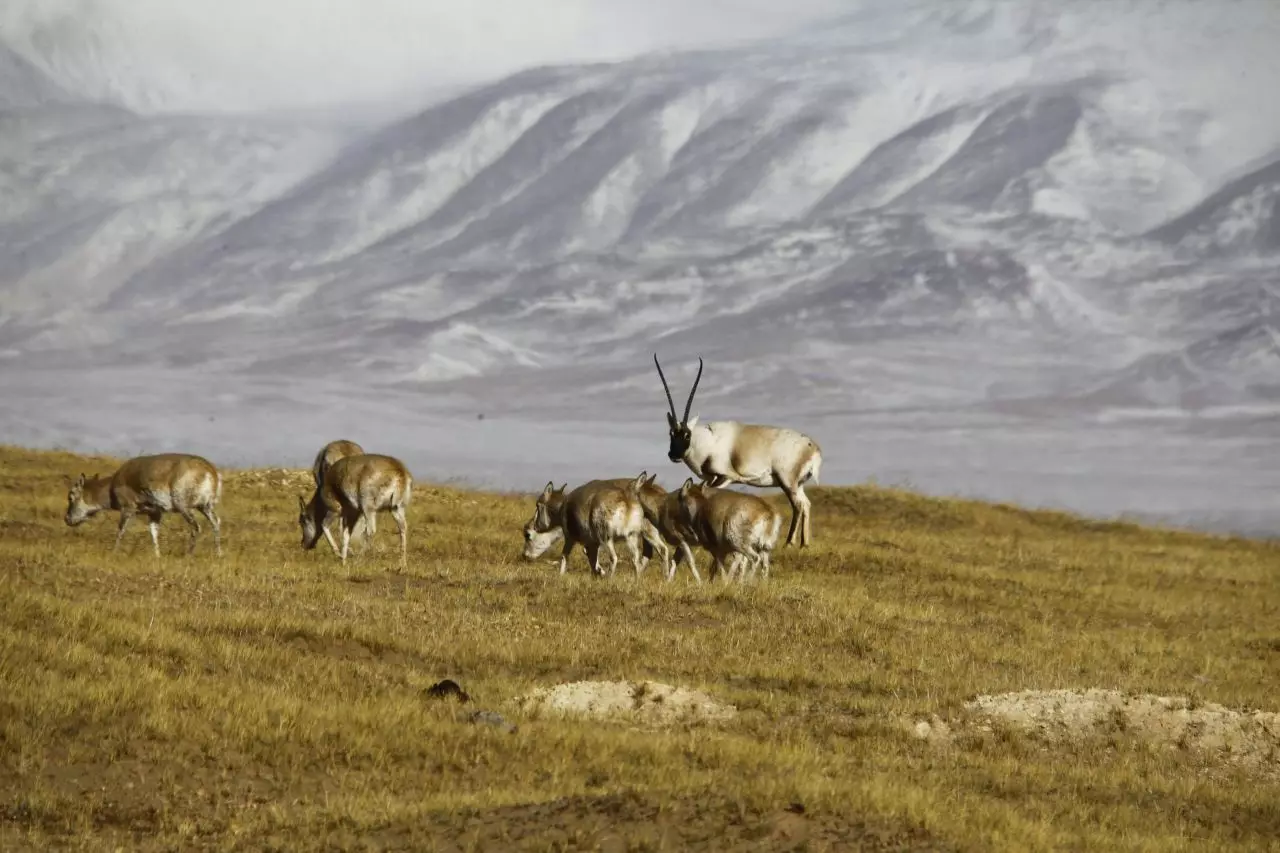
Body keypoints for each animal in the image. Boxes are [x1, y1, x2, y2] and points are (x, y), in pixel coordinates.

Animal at [64, 450, 224, 558]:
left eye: (70, 496)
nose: (67, 519)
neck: (111, 486)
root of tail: (210, 471)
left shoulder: (127, 508)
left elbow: (121, 530)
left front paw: (113, 552)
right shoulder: (154, 512)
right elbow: (153, 532)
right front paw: (157, 556)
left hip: (183, 506)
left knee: (196, 526)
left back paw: (188, 555)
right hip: (205, 507)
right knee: (215, 522)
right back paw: (218, 554)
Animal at [517, 471, 665, 578]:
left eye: (527, 534)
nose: (524, 556)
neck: (563, 507)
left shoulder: (571, 538)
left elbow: (565, 556)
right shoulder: (593, 543)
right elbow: (591, 558)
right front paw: (597, 573)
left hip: (612, 538)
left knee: (616, 558)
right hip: (633, 537)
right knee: (642, 557)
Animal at [655, 350, 824, 545]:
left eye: (687, 435)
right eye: (671, 433)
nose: (674, 455)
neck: (707, 440)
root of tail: (814, 449)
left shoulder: (726, 477)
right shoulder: (711, 478)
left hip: (788, 481)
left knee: (798, 505)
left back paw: (789, 542)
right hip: (798, 484)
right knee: (806, 504)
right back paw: (804, 543)